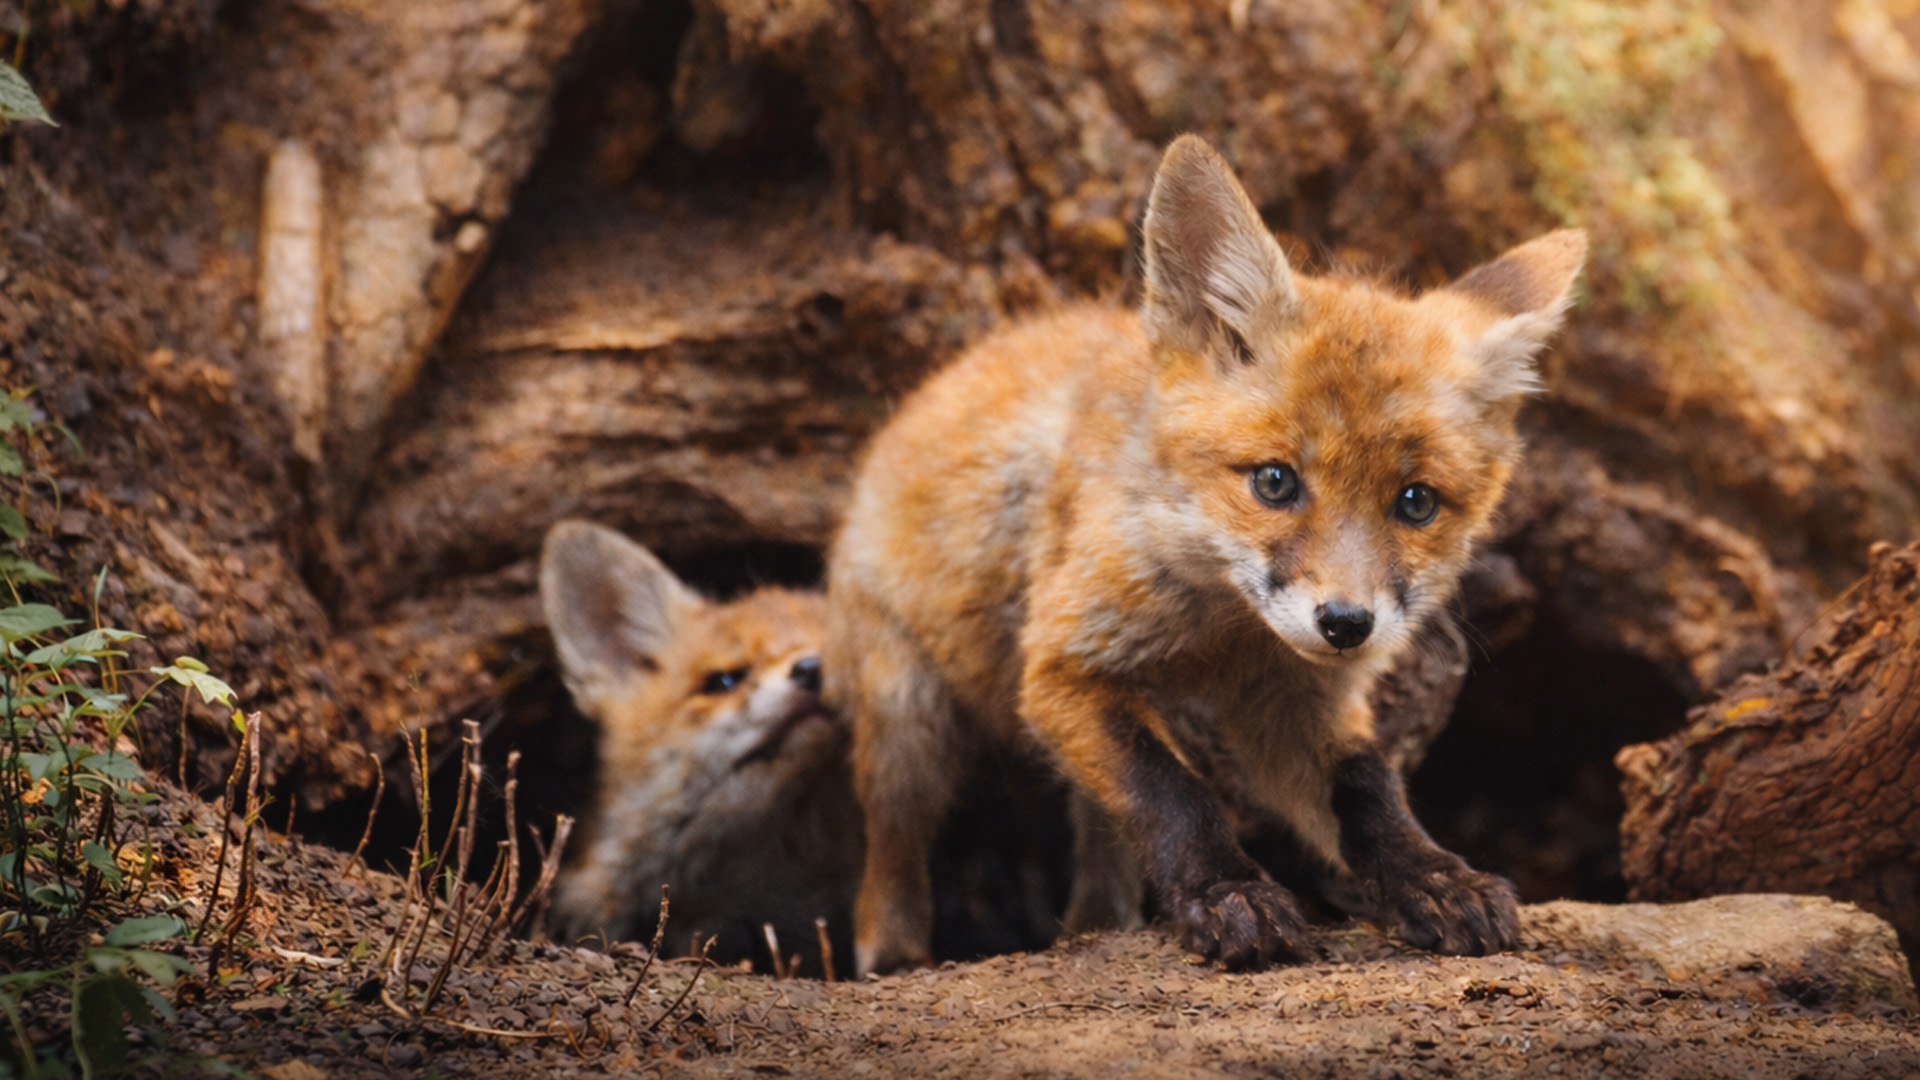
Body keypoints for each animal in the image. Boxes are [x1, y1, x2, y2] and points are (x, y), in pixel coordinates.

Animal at [827, 134, 1586, 975]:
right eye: (1275, 482)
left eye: (1416, 502)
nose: (1346, 624)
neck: (1223, 635)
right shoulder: (1064, 665)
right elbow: (1171, 788)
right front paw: (1229, 893)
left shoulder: (1297, 703)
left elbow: (1369, 787)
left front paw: (1432, 877)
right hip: (908, 721)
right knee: (889, 861)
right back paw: (896, 955)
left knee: (1101, 862)